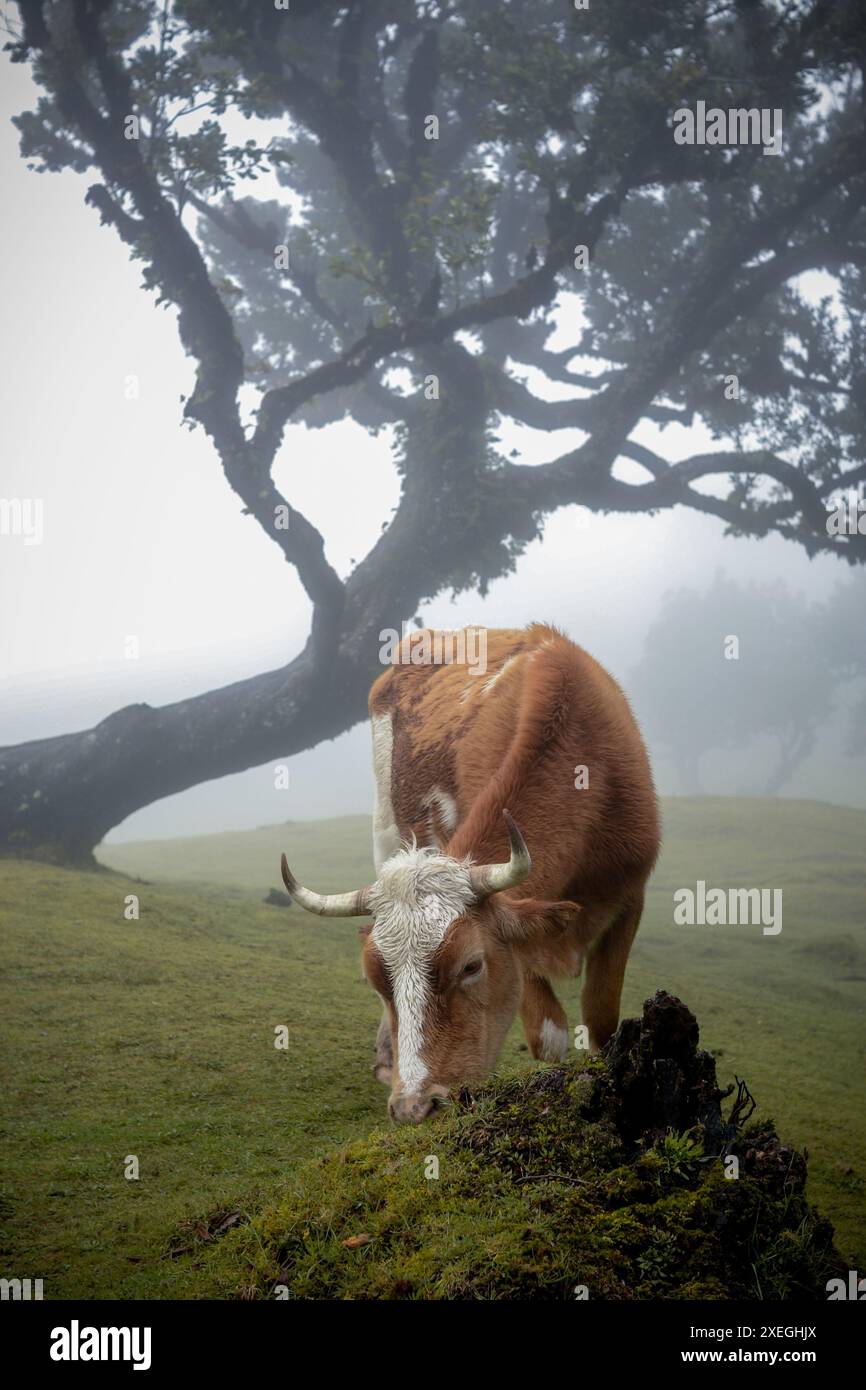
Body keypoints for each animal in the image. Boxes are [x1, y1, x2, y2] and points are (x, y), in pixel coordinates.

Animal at [280, 624, 659, 1124]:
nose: (413, 1106)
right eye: (377, 979)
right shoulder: (522, 940)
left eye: (471, 965)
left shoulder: (630, 897)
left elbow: (601, 1022)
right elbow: (549, 1038)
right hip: (386, 831)